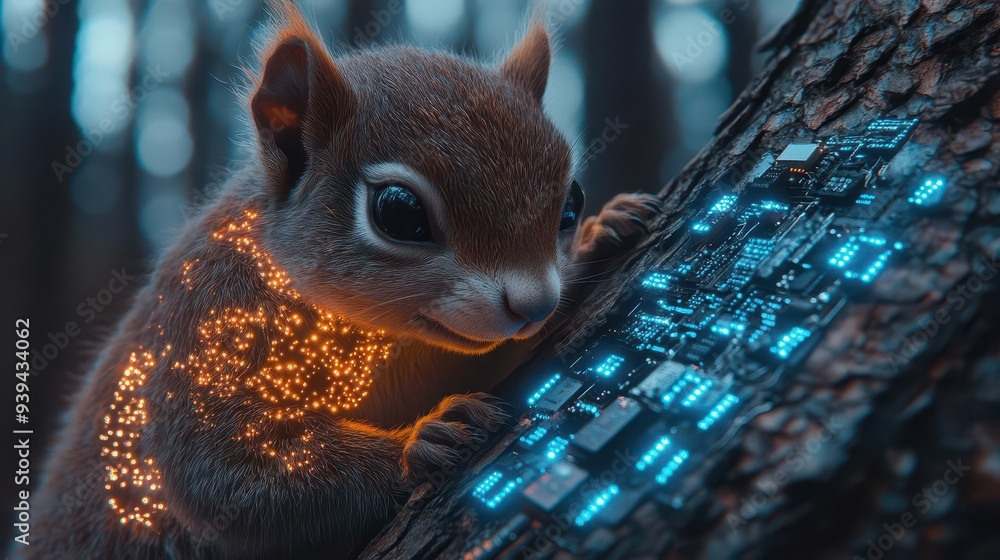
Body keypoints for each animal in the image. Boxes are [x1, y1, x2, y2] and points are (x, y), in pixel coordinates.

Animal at [25, 2, 660, 559]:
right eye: (399, 212)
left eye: (572, 202)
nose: (534, 304)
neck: (384, 341)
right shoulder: (202, 325)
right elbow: (219, 469)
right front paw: (421, 441)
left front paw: (603, 233)